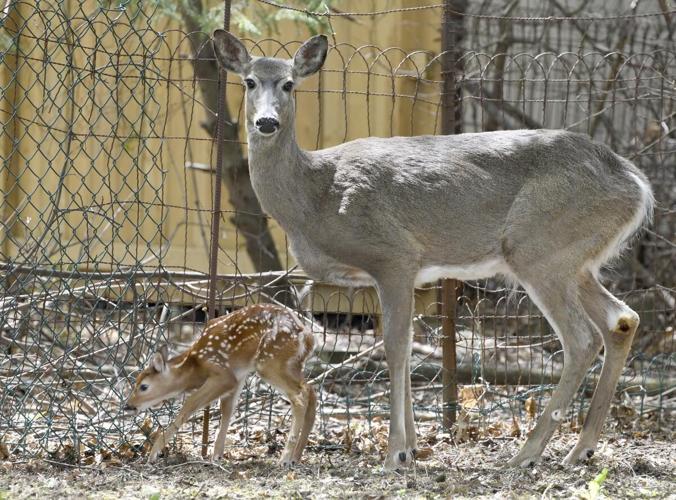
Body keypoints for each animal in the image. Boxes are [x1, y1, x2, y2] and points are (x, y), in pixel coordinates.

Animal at [124, 304, 316, 466]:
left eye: (143, 386)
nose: (128, 406)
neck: (195, 366)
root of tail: (307, 336)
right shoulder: (238, 377)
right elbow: (227, 410)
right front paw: (216, 456)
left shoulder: (223, 374)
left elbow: (190, 404)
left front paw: (153, 453)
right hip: (291, 364)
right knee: (311, 390)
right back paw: (296, 456)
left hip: (269, 362)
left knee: (300, 396)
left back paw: (284, 459)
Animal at [211, 31, 654, 469]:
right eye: (249, 81)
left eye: (289, 84)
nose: (266, 121)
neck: (315, 196)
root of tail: (635, 183)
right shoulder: (398, 272)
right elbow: (407, 347)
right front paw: (410, 449)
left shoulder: (393, 255)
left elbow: (394, 347)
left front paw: (394, 454)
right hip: (574, 259)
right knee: (622, 319)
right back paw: (581, 449)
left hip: (539, 248)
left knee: (581, 338)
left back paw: (526, 453)